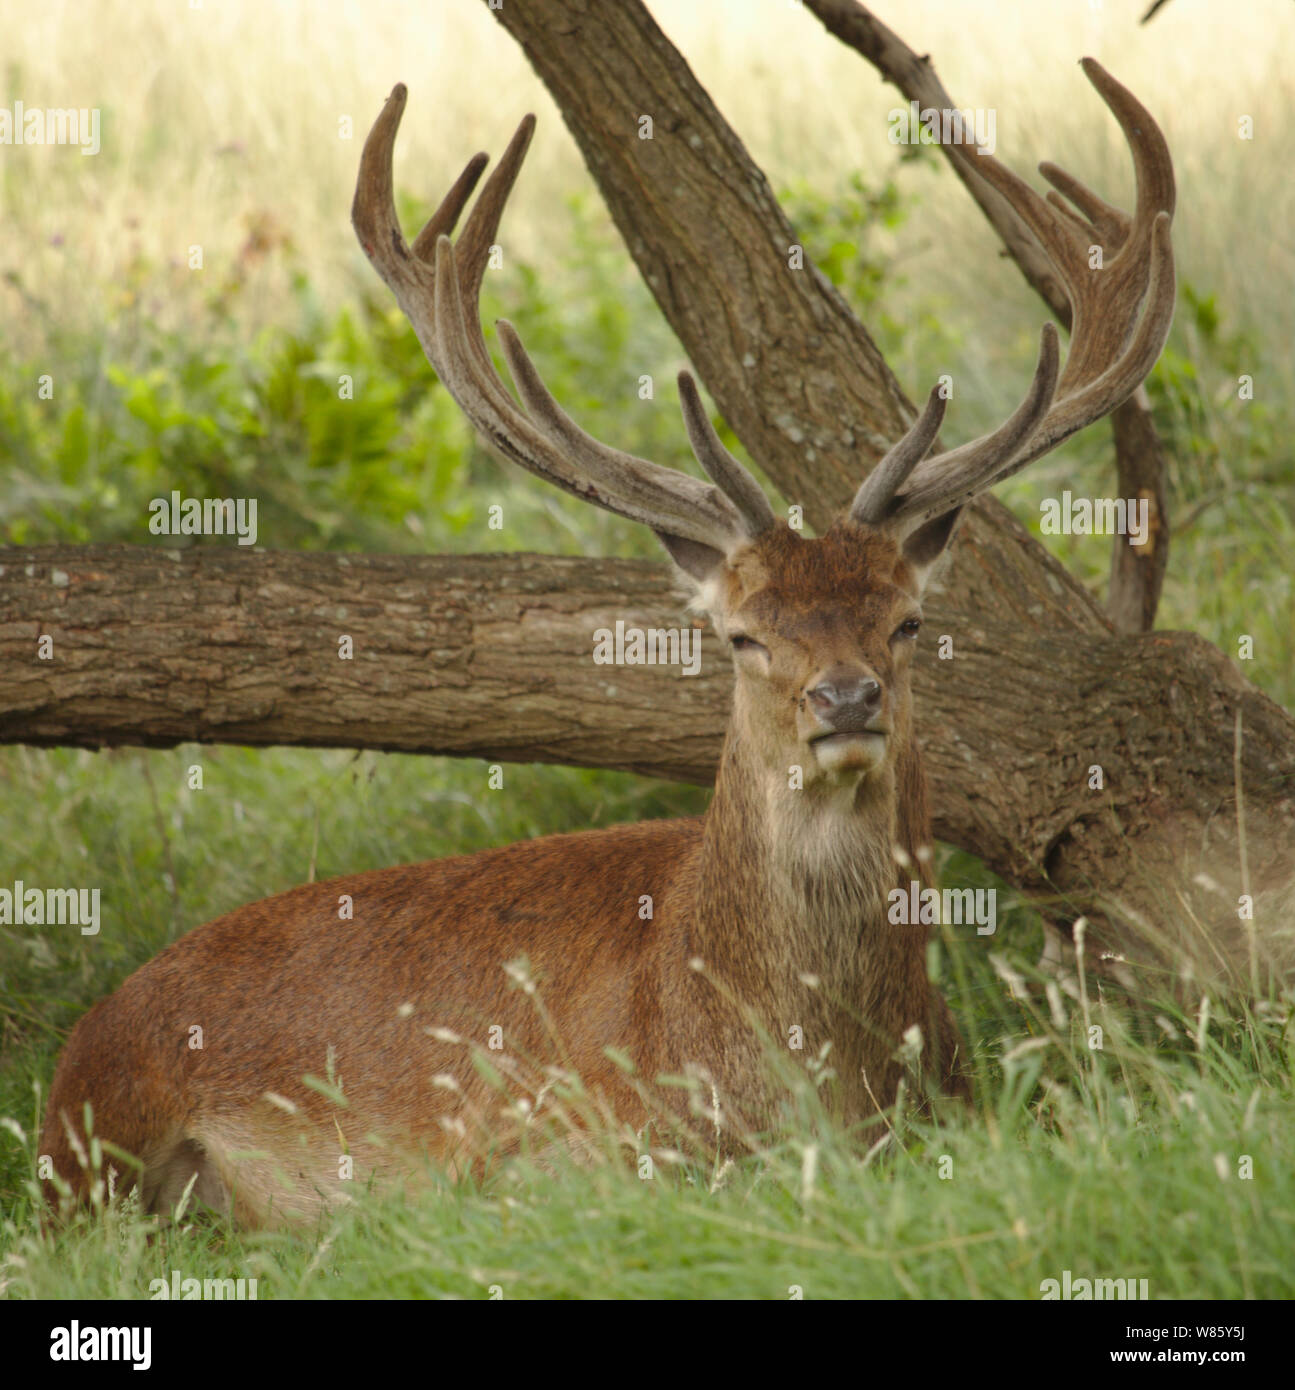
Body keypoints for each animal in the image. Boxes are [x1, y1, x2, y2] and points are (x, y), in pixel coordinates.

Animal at [40, 60, 1174, 1229]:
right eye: (740, 634)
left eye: (906, 620)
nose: (846, 699)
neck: (815, 1087)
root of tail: (81, 1037)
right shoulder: (532, 1152)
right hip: (97, 1154)